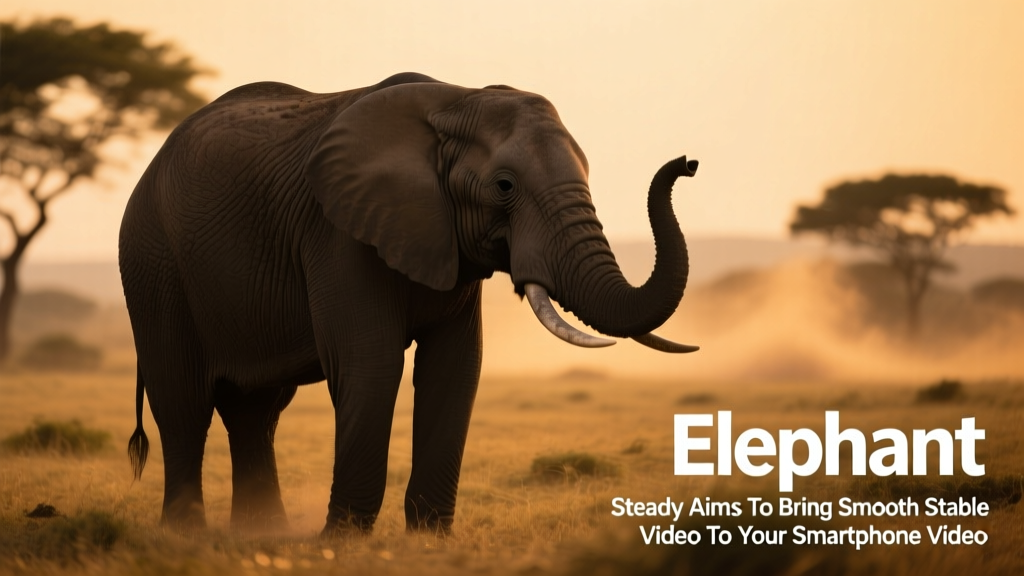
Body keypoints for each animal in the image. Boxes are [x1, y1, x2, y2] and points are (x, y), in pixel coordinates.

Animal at [119, 71, 699, 535]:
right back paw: (186, 537)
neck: (455, 99)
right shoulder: (338, 233)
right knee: (184, 401)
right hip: (153, 261)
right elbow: (370, 367)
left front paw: (429, 539)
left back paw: (261, 535)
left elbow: (456, 369)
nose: (688, 162)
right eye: (504, 187)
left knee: (256, 411)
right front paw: (343, 542)